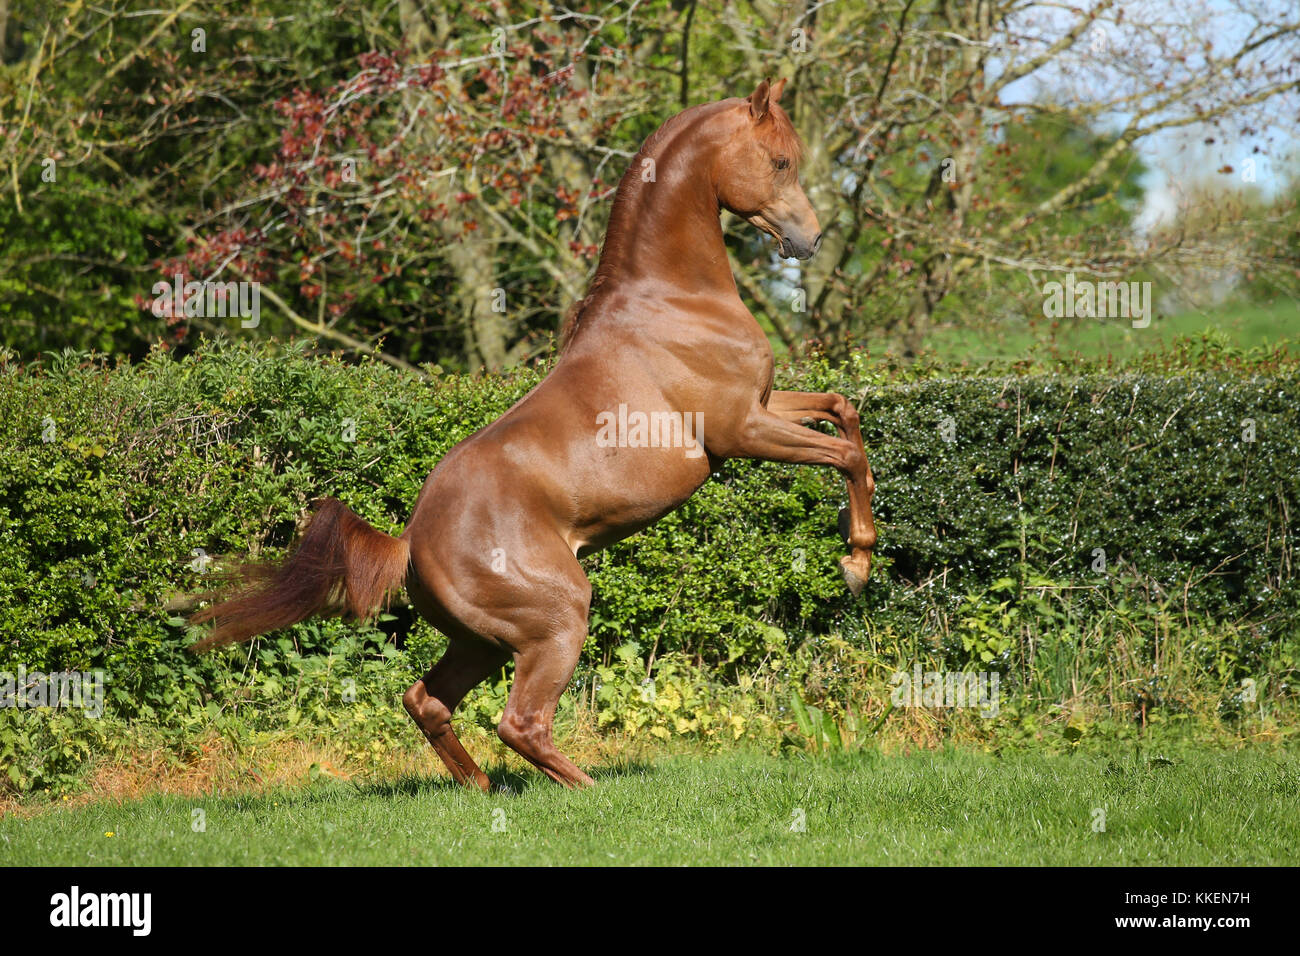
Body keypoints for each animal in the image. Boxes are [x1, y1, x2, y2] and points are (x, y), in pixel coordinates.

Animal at [191, 77, 878, 789]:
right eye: (780, 161)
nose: (810, 239)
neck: (672, 300)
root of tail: (409, 543)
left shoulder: (767, 406)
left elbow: (843, 409)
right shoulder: (740, 429)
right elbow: (845, 453)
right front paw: (856, 564)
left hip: (482, 641)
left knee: (426, 700)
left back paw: (479, 787)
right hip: (556, 620)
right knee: (518, 722)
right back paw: (589, 791)